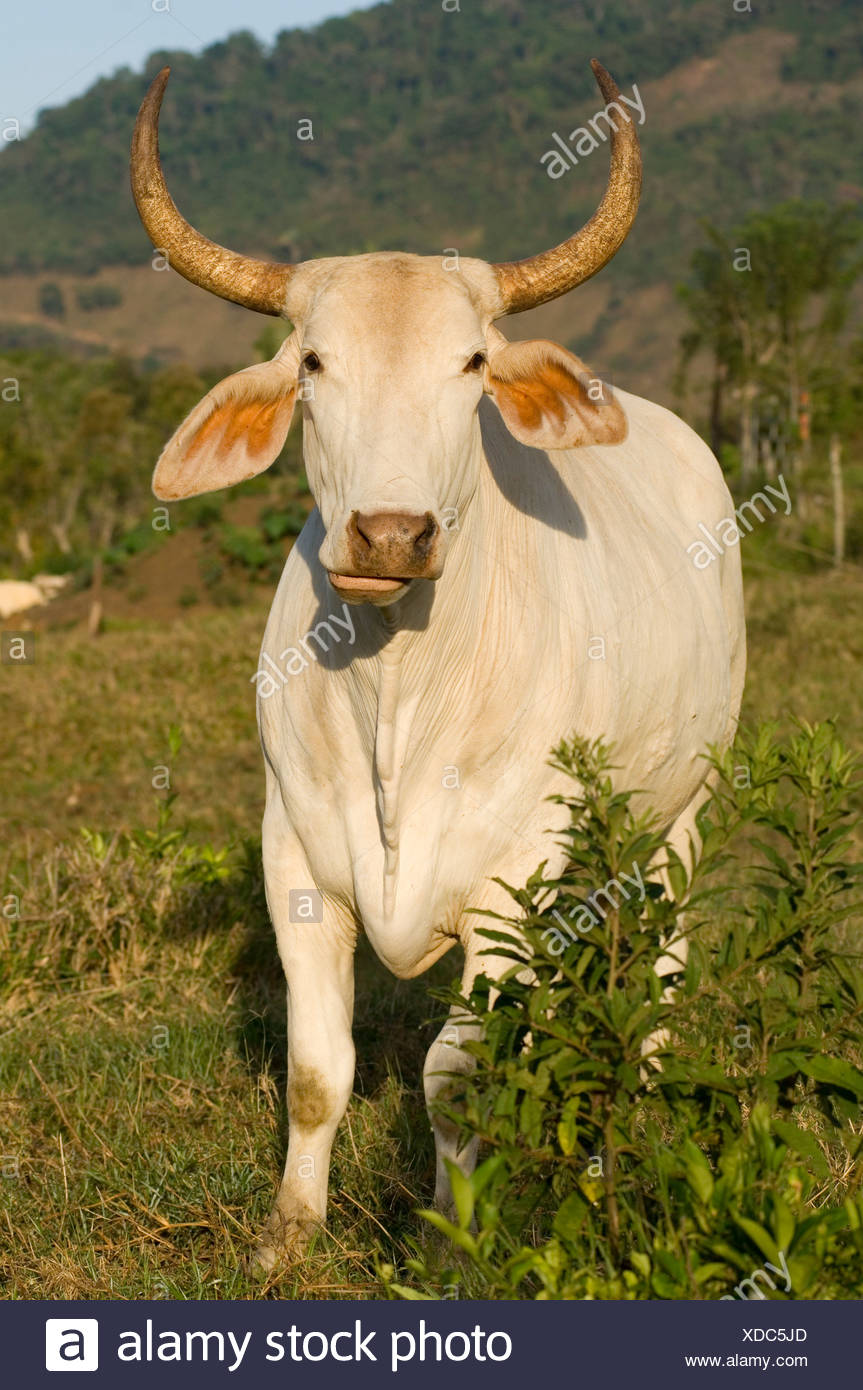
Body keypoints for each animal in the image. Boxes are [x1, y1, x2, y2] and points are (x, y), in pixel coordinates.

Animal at [130, 60, 746, 1271]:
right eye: (313, 361)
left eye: (468, 363)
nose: (388, 535)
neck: (395, 693)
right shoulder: (292, 858)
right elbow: (317, 1072)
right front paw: (288, 1232)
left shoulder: (515, 872)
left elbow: (455, 1078)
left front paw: (458, 1236)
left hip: (685, 811)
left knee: (659, 967)